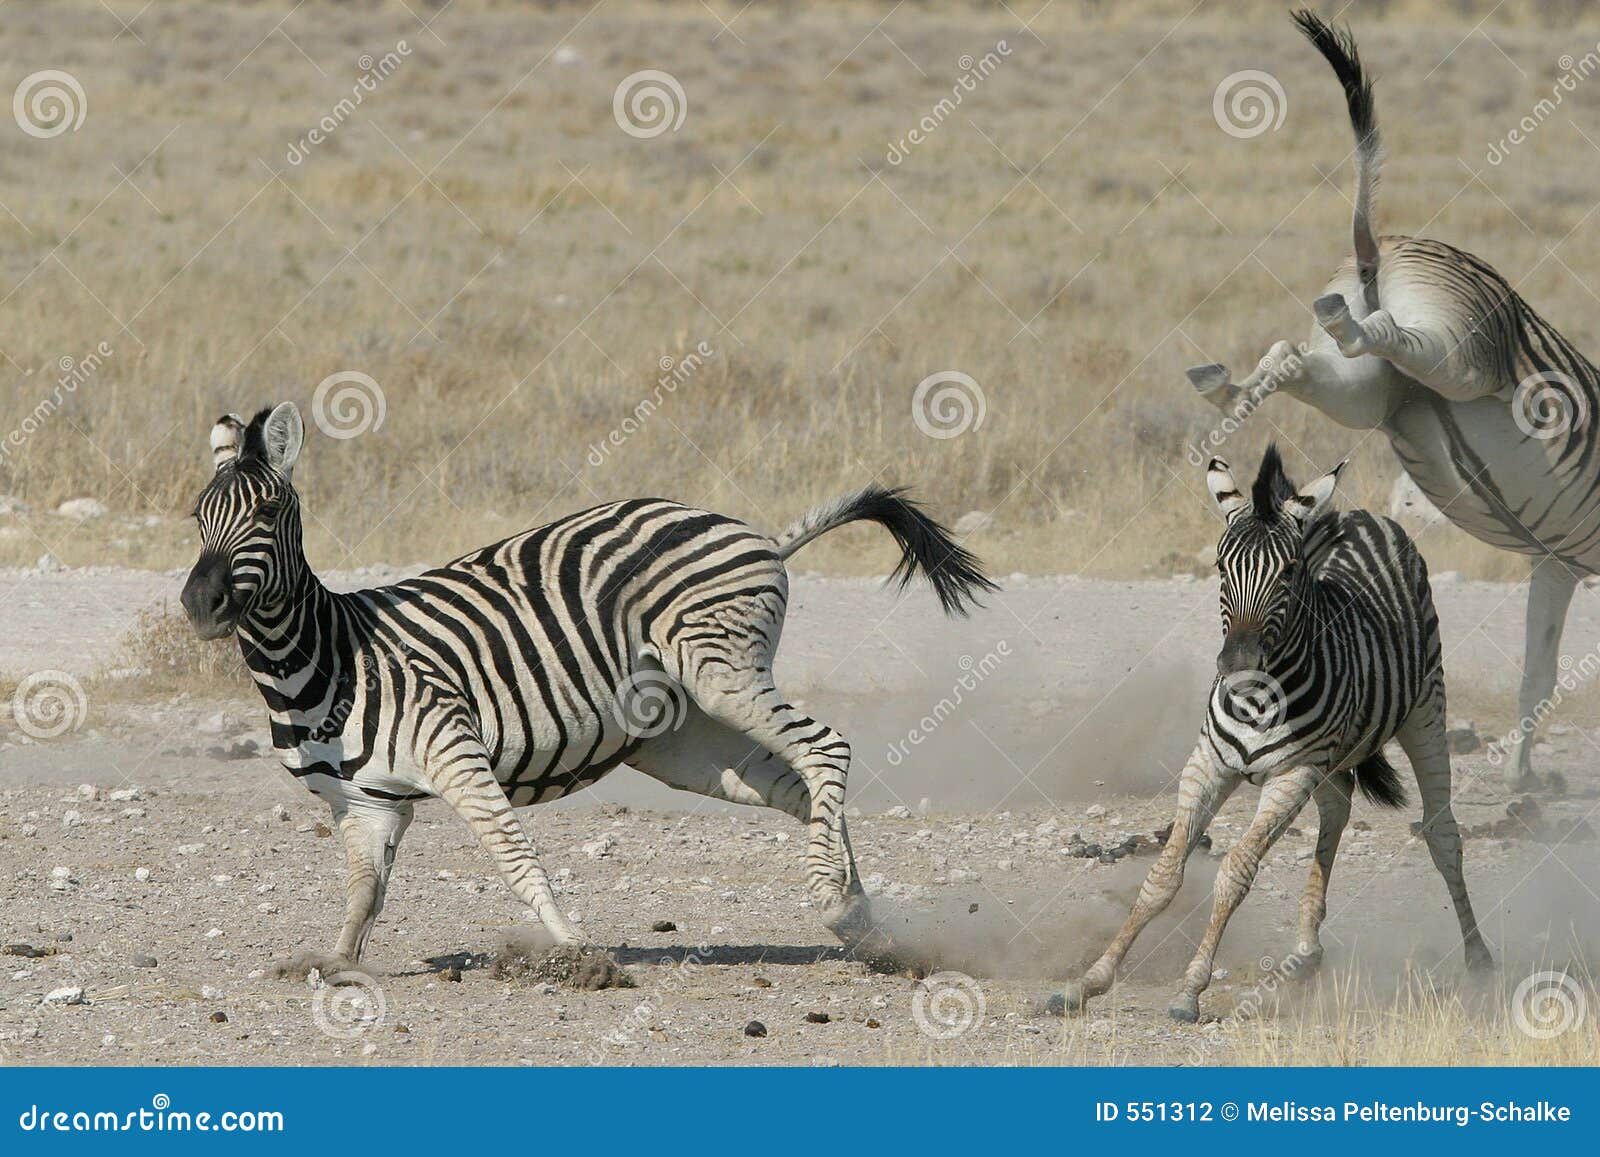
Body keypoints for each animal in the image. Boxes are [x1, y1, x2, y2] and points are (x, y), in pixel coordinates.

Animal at [180, 403, 995, 977]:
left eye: (268, 513)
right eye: (197, 516)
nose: (200, 604)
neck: (327, 658)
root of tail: (757, 532)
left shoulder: (455, 752)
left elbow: (514, 855)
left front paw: (578, 950)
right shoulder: (364, 804)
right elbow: (363, 893)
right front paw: (335, 961)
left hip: (722, 672)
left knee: (826, 748)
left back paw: (833, 903)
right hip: (685, 743)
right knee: (797, 786)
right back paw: (863, 917)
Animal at [1053, 447, 1492, 1022]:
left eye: (1289, 570)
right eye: (1220, 567)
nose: (1238, 665)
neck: (1261, 698)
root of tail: (1361, 516)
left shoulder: (1291, 774)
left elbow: (1235, 872)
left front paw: (1189, 990)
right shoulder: (1208, 764)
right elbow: (1163, 874)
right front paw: (1089, 980)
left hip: (1424, 712)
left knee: (1442, 833)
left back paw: (1479, 957)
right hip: (1332, 756)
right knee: (1338, 811)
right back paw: (1305, 953)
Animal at [1187, 9, 1600, 792]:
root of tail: (1387, 248)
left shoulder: (1555, 561)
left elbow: (1537, 673)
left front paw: (1522, 783)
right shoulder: (1566, 562)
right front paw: (1530, 788)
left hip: (1368, 391)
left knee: (1299, 354)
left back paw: (1226, 391)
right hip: (1463, 357)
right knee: (1386, 335)